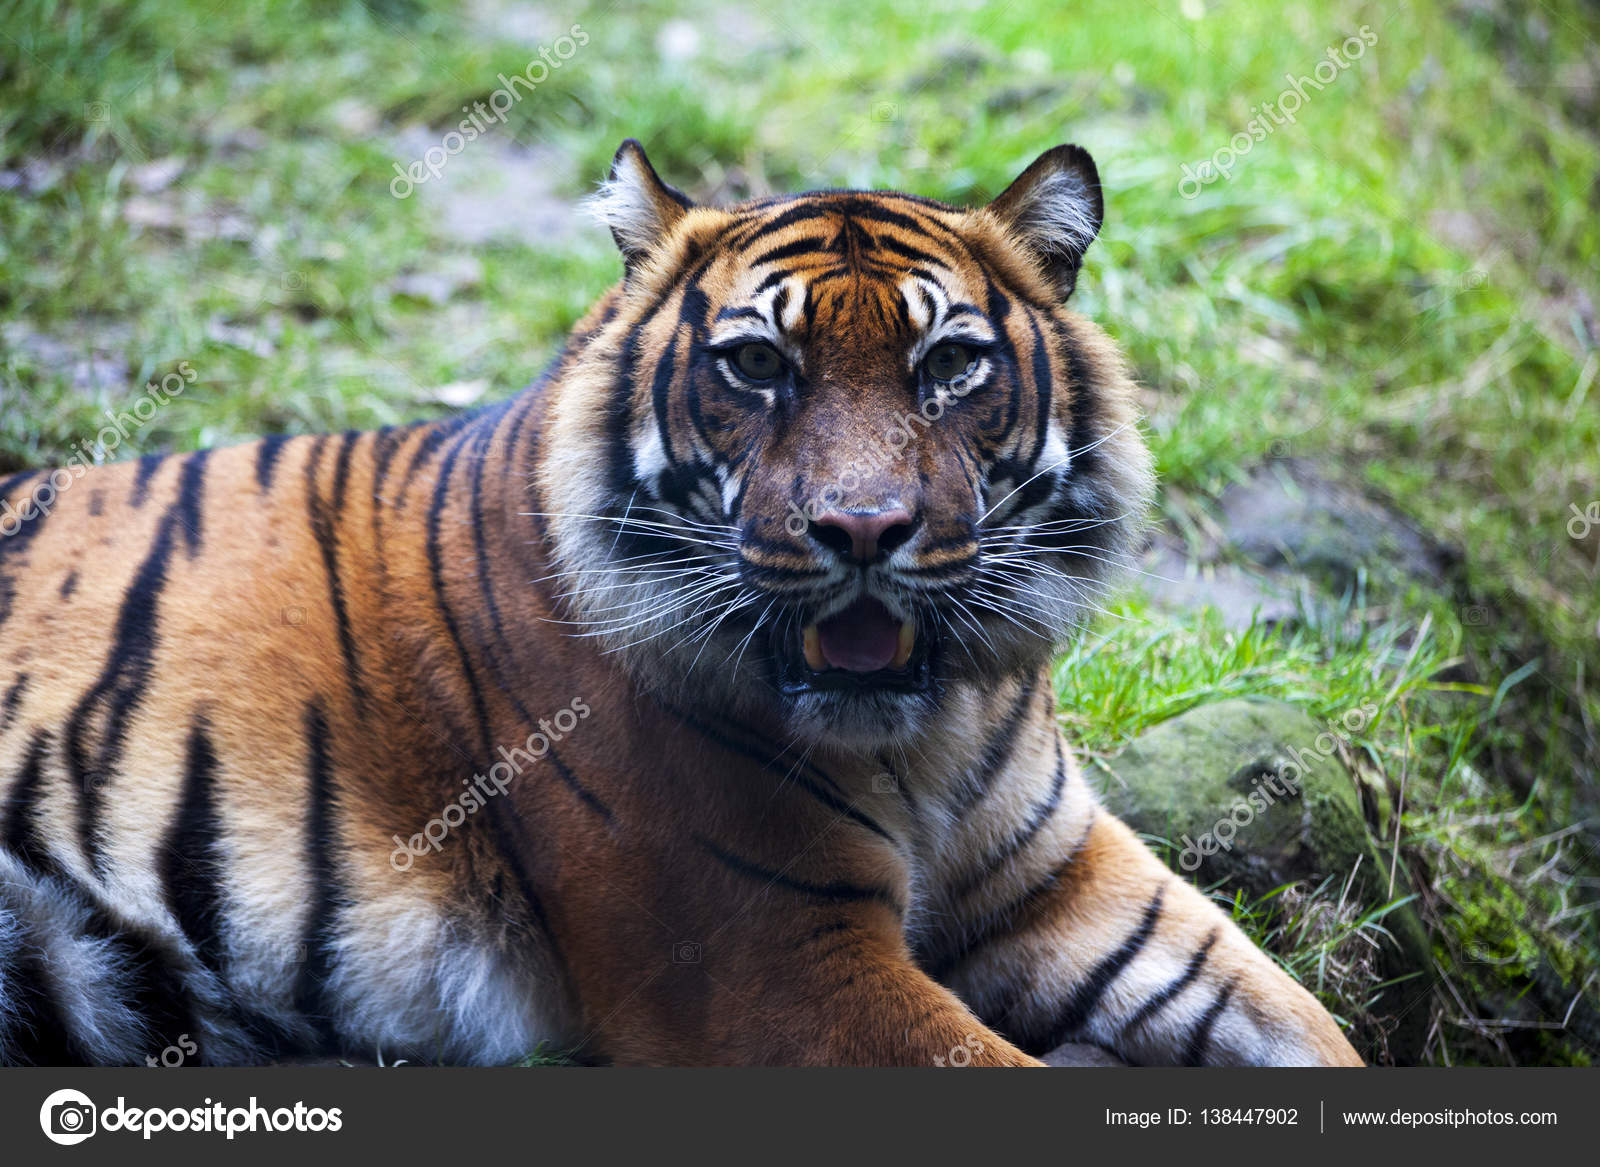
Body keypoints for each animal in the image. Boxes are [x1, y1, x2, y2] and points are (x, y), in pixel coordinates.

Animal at [0, 139, 1362, 1067]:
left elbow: (1302, 1025)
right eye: (756, 365)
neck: (931, 735)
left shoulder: (1062, 874)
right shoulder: (778, 965)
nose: (861, 530)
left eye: (949, 365)